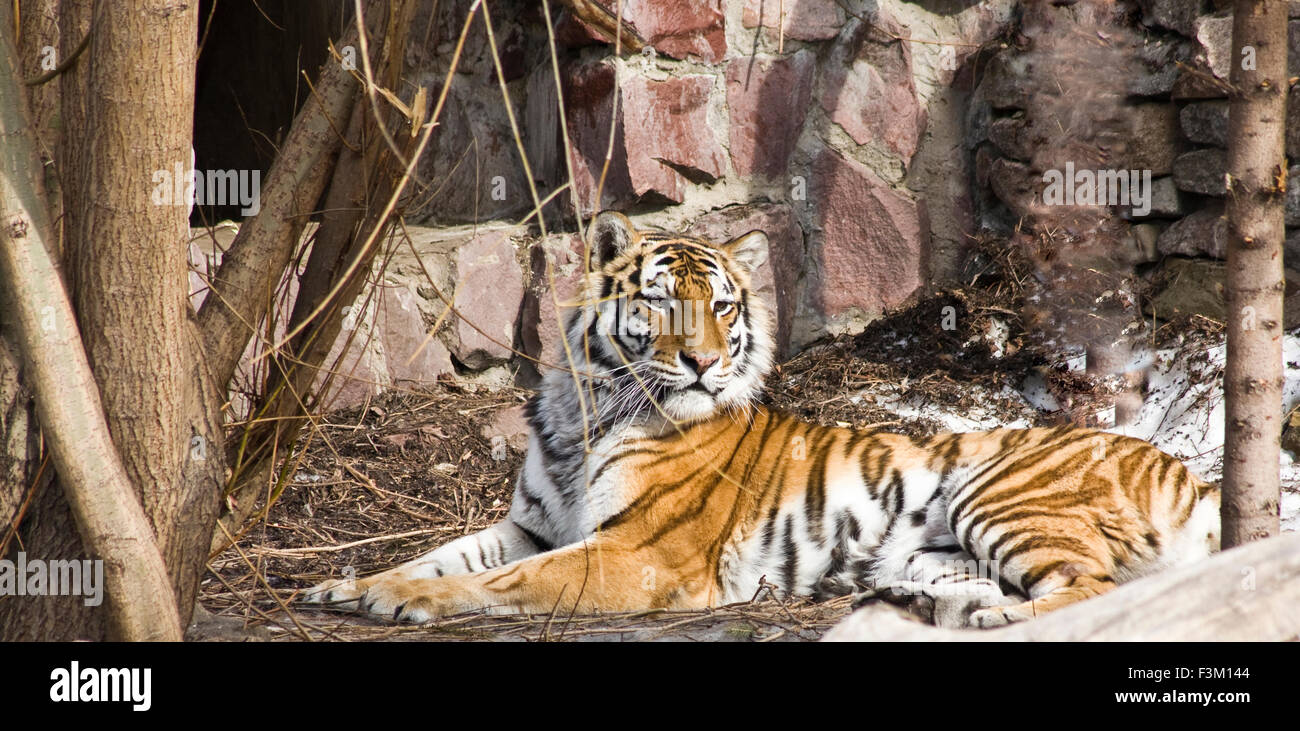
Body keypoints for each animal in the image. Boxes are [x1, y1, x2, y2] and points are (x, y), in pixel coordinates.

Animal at [300, 211, 1221, 628]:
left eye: (721, 305)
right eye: (660, 303)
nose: (704, 364)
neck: (586, 408)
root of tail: (1184, 469)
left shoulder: (635, 552)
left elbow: (496, 581)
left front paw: (395, 600)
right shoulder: (532, 523)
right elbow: (445, 553)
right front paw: (349, 581)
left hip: (999, 490)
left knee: (1094, 590)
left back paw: (992, 619)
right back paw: (920, 602)